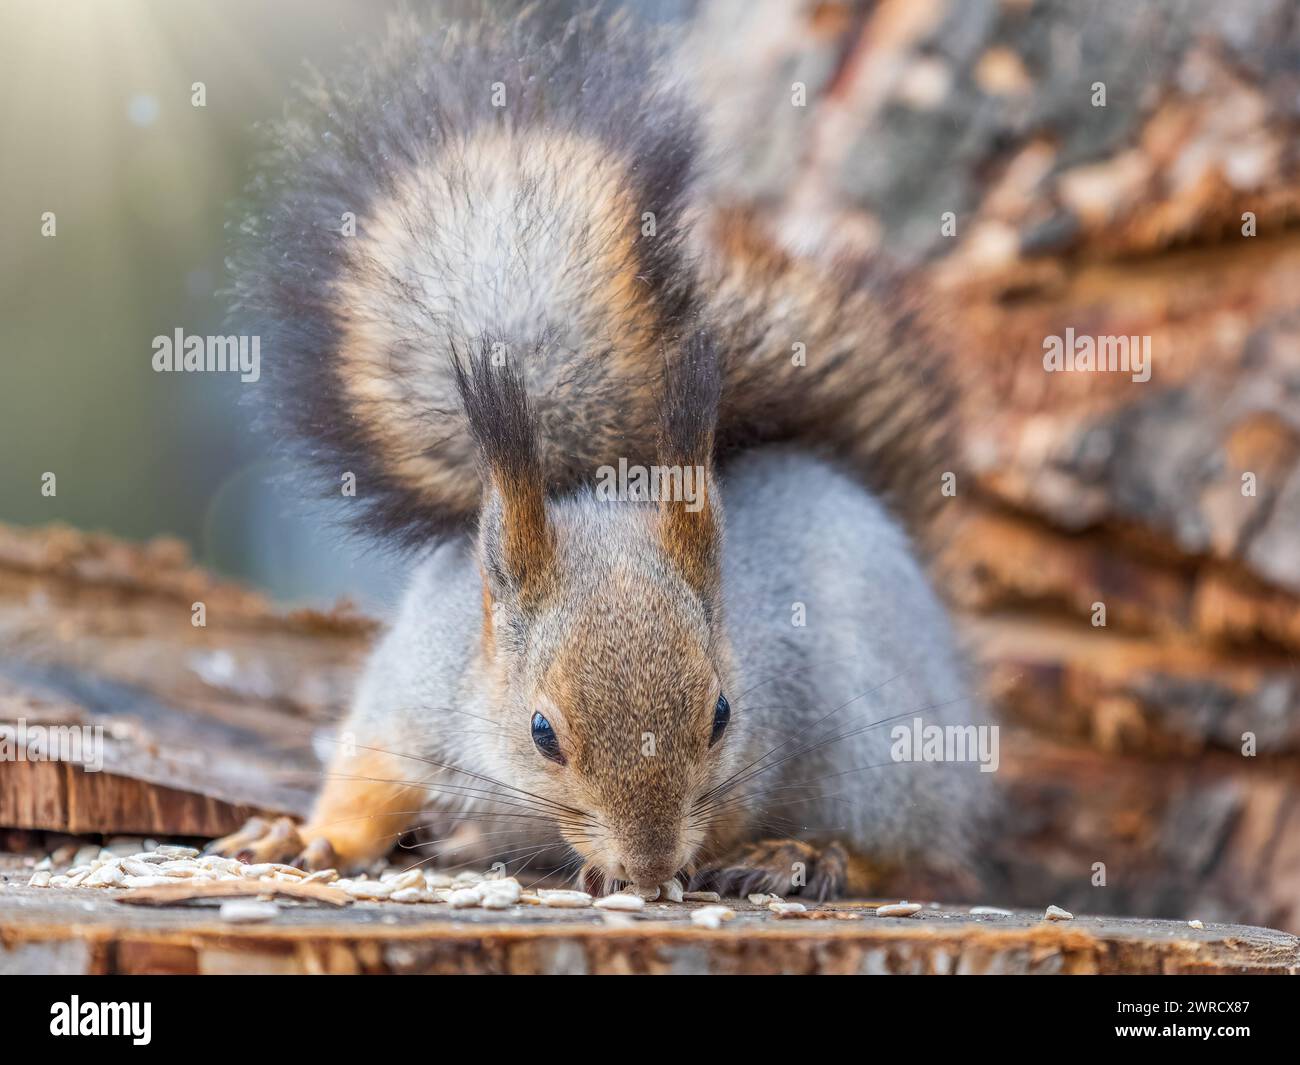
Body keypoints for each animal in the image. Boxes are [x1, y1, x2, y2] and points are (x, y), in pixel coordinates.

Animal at [211, 4, 997, 900]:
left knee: (900, 842)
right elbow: (365, 774)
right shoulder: (414, 691)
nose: (650, 864)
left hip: (889, 752)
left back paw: (802, 853)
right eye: (542, 730)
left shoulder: (760, 740)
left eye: (722, 714)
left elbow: (733, 807)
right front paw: (306, 836)